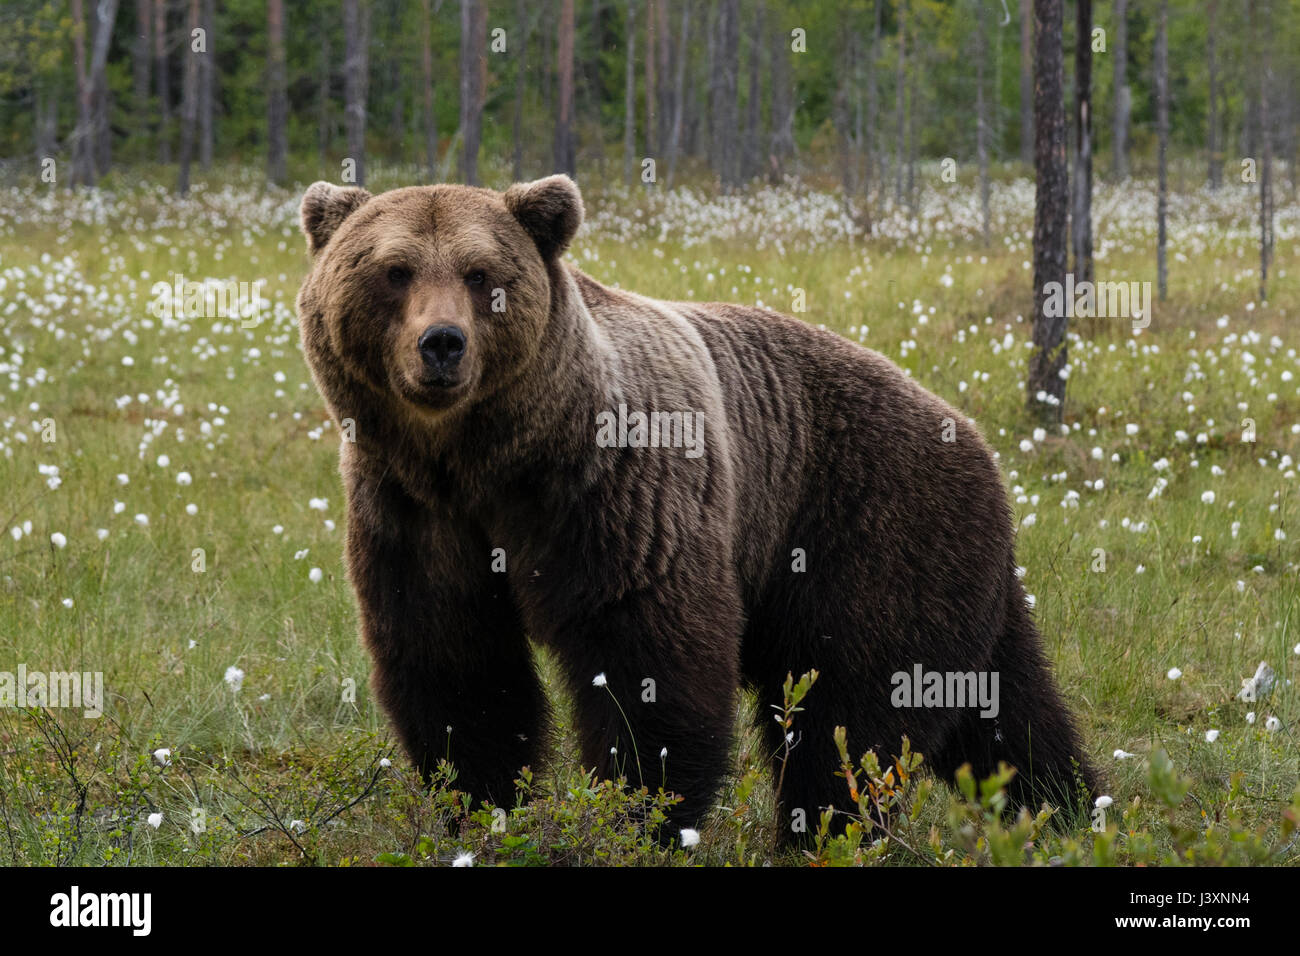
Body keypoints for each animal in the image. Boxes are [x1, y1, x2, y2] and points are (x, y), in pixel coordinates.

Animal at [295, 174, 1098, 842]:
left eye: (479, 273)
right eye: (394, 270)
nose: (442, 343)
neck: (488, 462)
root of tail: (978, 440)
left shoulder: (619, 496)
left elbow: (650, 663)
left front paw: (640, 817)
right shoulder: (411, 513)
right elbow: (454, 661)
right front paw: (484, 806)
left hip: (873, 526)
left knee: (854, 715)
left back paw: (821, 832)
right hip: (955, 573)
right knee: (1007, 712)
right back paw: (1071, 810)